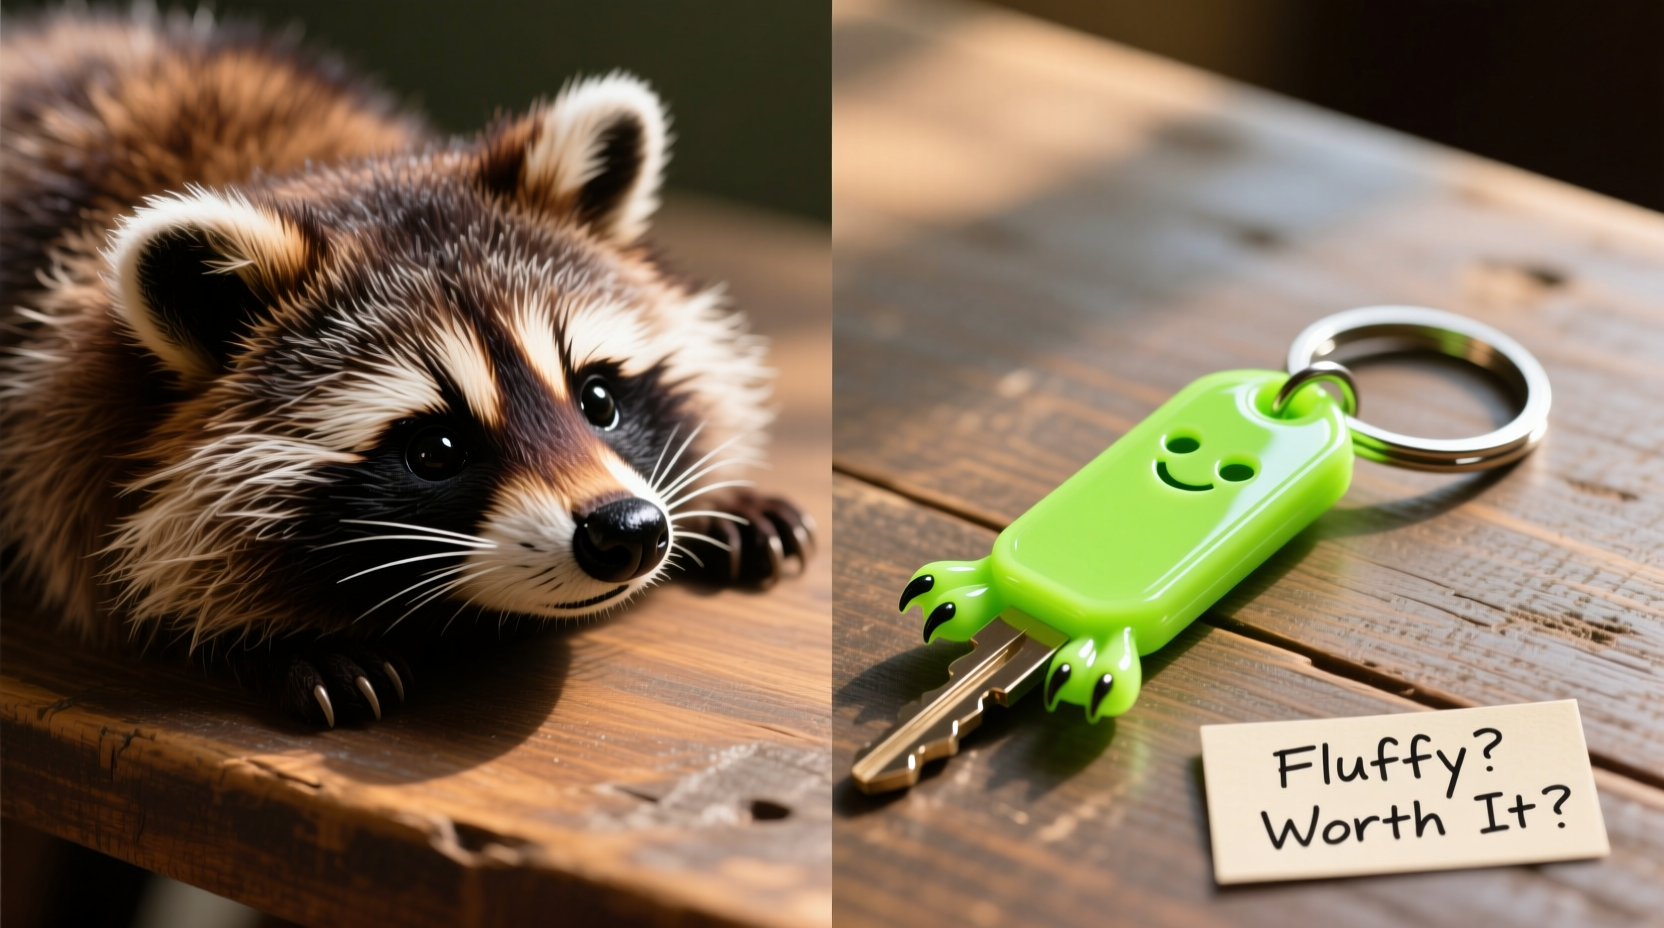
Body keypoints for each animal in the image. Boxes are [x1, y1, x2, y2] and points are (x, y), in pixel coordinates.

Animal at [0, 7, 812, 727]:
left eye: (599, 400)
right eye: (435, 450)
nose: (628, 530)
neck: (297, 168)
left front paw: (722, 496)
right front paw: (274, 638)